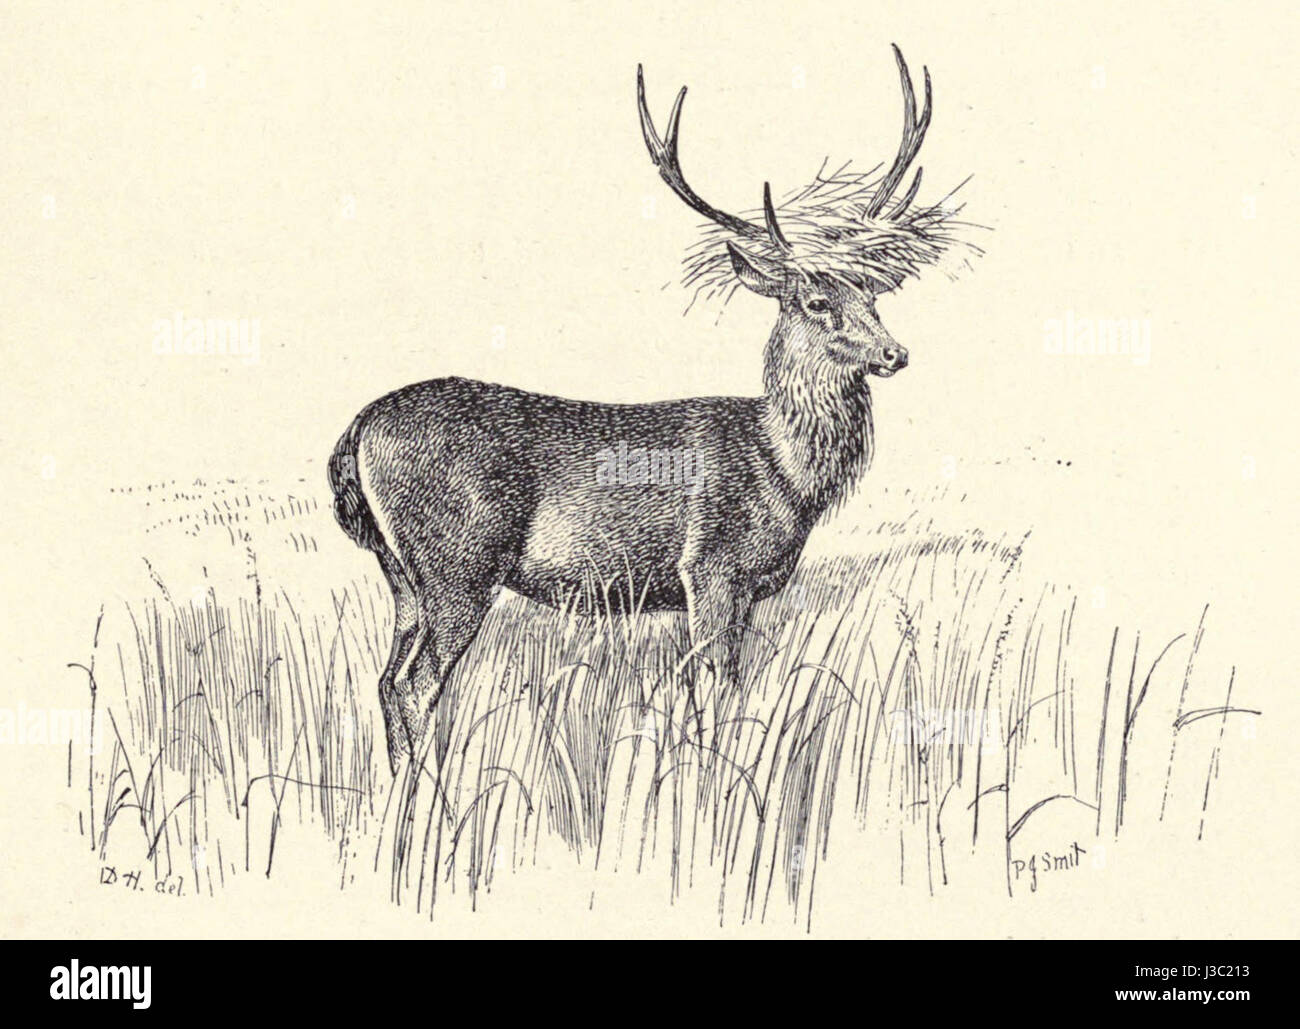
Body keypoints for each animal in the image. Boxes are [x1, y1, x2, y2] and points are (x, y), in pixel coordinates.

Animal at [329, 47, 973, 772]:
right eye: (815, 301)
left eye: (872, 297)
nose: (896, 352)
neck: (783, 472)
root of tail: (357, 432)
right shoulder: (712, 568)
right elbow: (717, 690)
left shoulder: (744, 590)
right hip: (457, 561)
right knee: (415, 684)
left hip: (402, 575)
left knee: (386, 681)